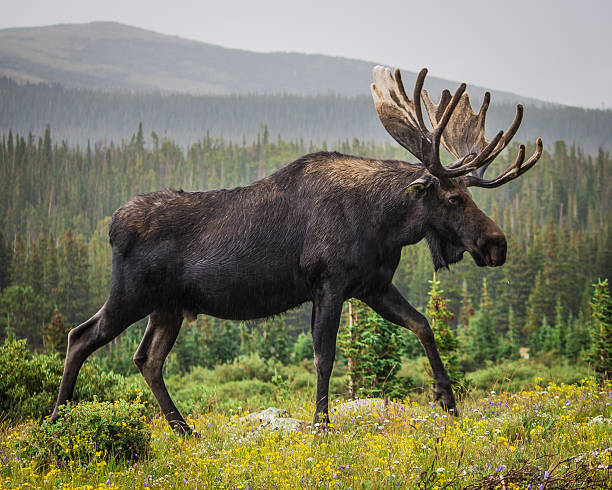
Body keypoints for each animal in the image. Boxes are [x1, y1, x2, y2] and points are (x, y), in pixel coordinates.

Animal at [51, 66, 540, 432]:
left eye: (469, 194)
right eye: (453, 198)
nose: (497, 245)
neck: (383, 225)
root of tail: (112, 225)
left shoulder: (373, 286)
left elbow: (423, 324)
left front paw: (447, 399)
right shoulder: (329, 283)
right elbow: (325, 356)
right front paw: (322, 426)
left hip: (167, 307)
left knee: (147, 359)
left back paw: (185, 430)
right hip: (131, 294)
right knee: (81, 337)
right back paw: (57, 419)